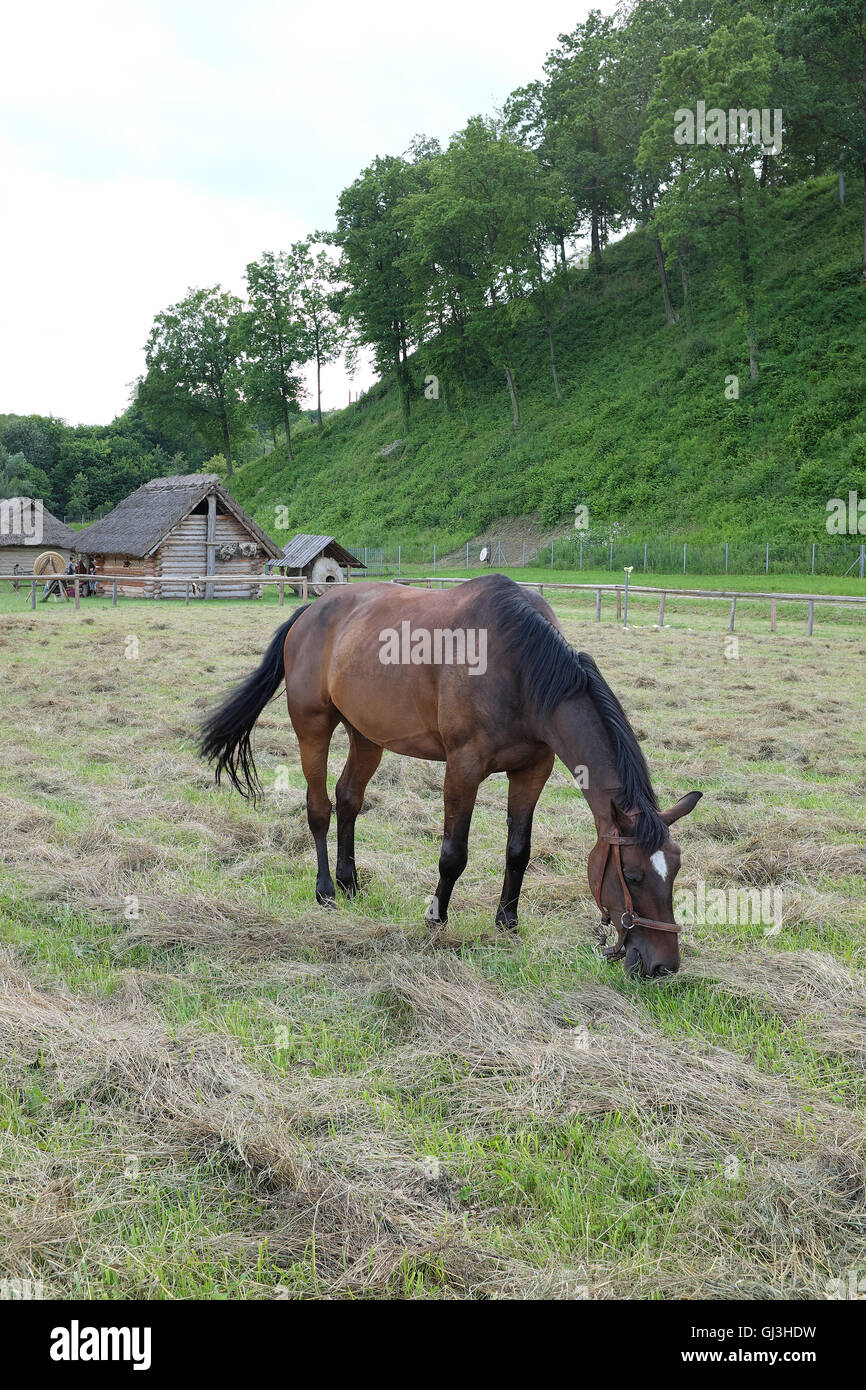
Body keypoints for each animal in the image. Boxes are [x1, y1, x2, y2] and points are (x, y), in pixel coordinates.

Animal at [199, 574, 701, 977]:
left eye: (675, 870)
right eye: (633, 875)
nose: (662, 965)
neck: (519, 666)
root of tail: (311, 610)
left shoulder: (532, 770)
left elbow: (518, 850)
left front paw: (507, 922)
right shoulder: (463, 768)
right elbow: (453, 854)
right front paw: (436, 917)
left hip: (367, 736)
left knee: (349, 799)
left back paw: (349, 881)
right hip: (313, 729)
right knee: (320, 807)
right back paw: (325, 890)